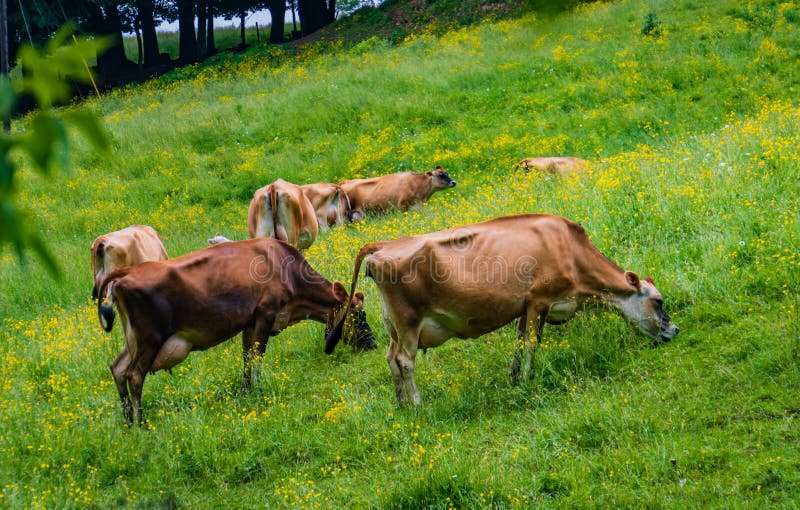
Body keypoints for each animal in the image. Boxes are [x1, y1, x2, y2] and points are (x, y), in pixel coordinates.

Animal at [97, 238, 376, 425]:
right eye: (357, 314)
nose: (372, 343)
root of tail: (126, 272)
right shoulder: (266, 313)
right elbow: (258, 356)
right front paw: (258, 390)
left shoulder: (249, 322)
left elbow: (246, 357)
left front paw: (245, 391)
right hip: (150, 338)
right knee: (134, 375)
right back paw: (141, 423)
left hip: (133, 338)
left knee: (117, 368)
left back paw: (128, 420)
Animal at [326, 214, 679, 407]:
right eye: (658, 302)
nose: (674, 330)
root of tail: (382, 245)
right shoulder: (539, 300)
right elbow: (533, 344)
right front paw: (528, 379)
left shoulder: (524, 306)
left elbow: (520, 341)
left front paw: (513, 376)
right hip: (408, 322)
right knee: (404, 361)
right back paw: (417, 402)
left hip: (393, 325)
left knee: (390, 359)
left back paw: (401, 404)